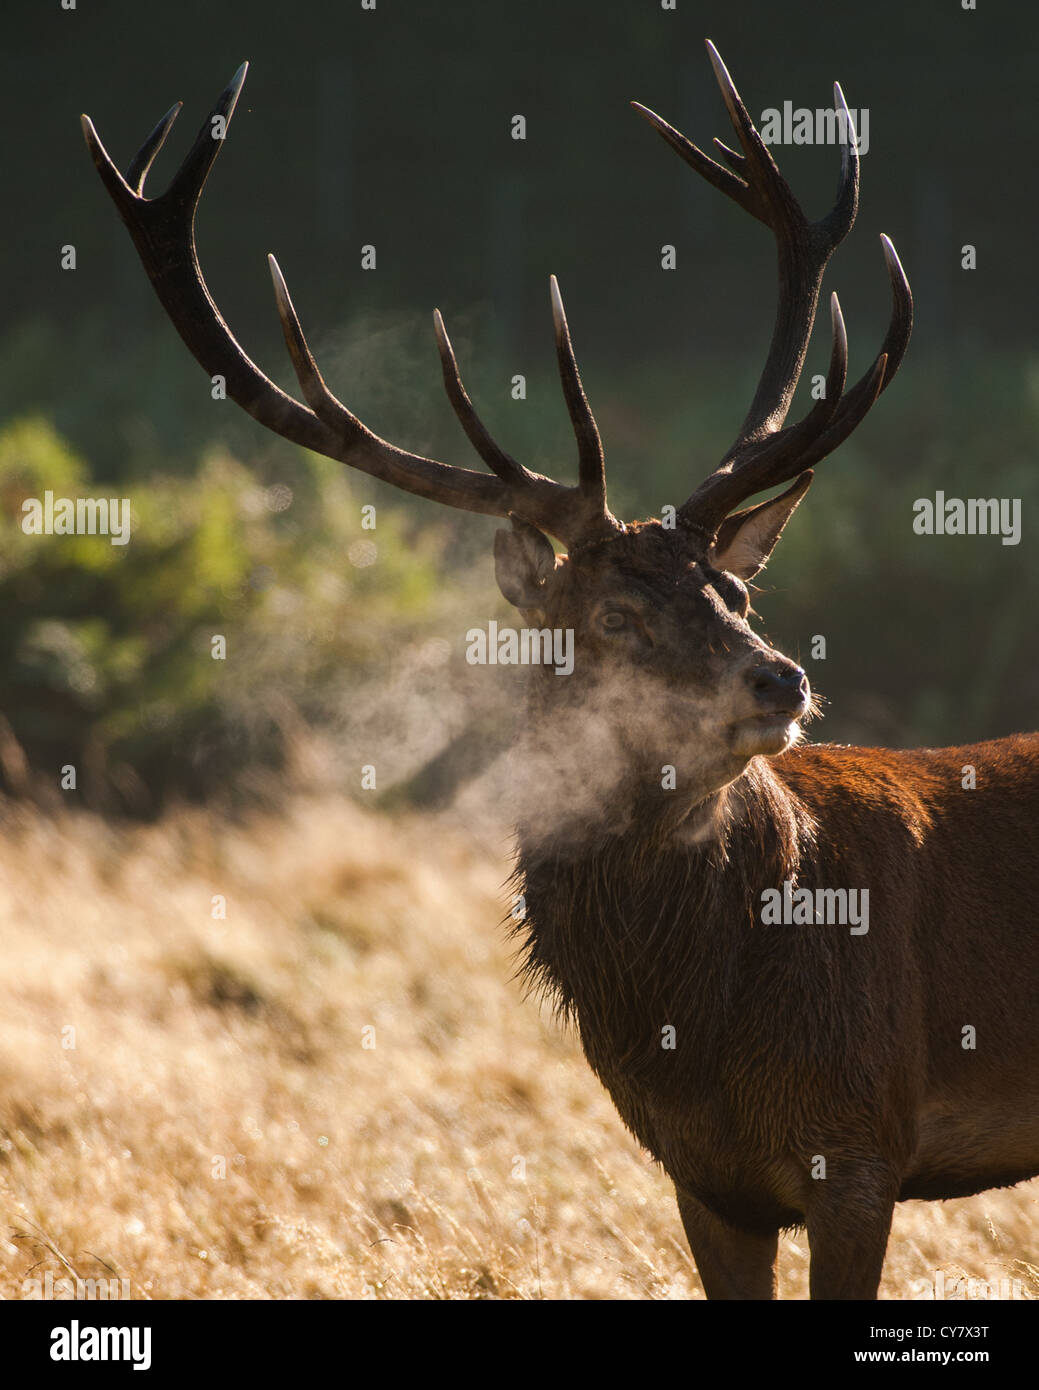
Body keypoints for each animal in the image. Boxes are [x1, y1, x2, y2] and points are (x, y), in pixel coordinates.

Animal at [83, 40, 1039, 1300]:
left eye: (735, 593)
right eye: (616, 613)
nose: (781, 681)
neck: (694, 1025)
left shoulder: (862, 1138)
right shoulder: (704, 1178)